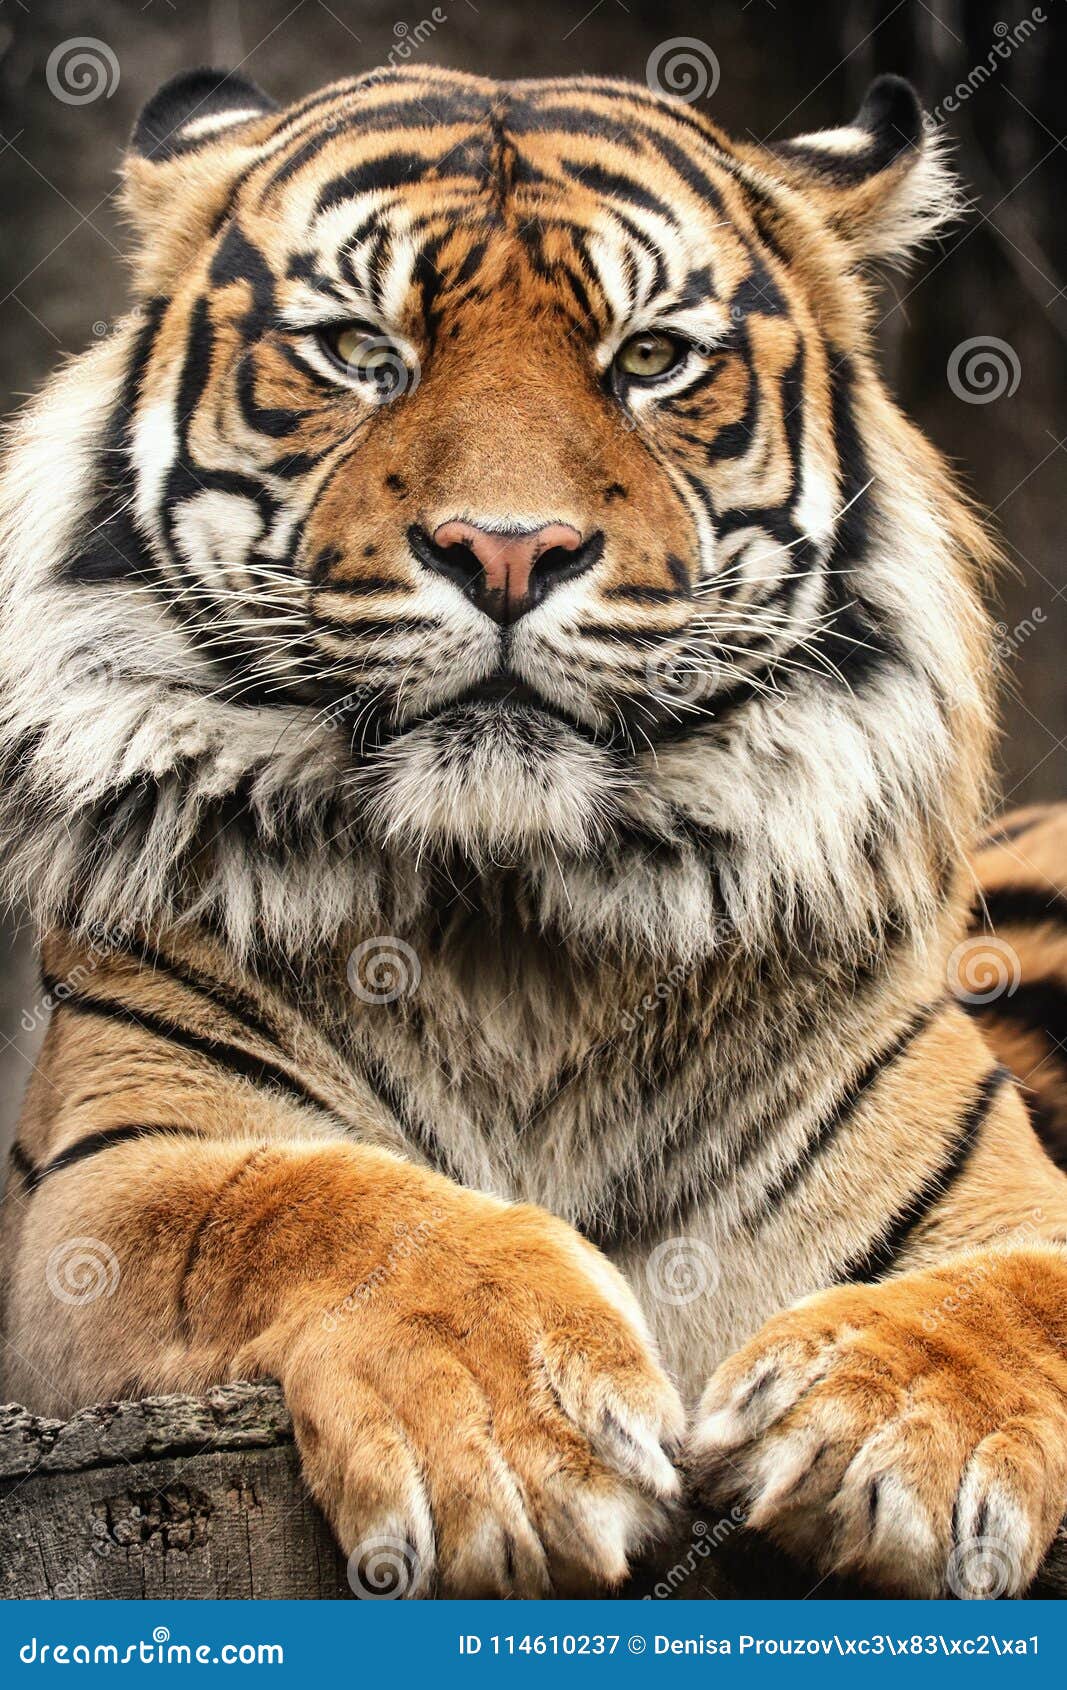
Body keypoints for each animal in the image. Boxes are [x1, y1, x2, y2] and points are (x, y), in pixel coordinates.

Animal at [1, 61, 1066, 1603]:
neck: (519, 926)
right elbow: (322, 1202)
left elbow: (1024, 1290)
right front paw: (514, 1427)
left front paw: (896, 1427)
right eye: (358, 349)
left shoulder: (1003, 1194)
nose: (506, 549)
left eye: (650, 359)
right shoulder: (110, 1180)